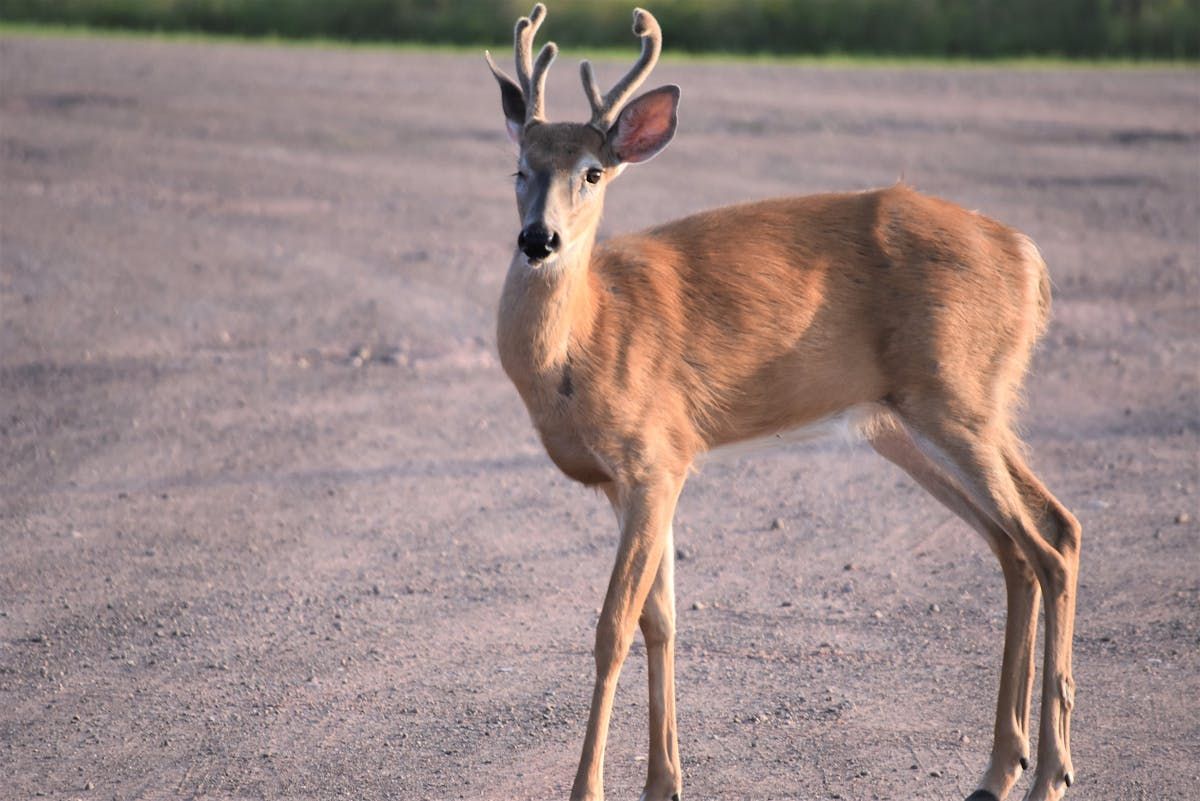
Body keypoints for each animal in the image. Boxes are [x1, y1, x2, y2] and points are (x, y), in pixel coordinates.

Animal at [483, 6, 1080, 801]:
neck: (586, 336)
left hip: (957, 400)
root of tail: (1029, 258)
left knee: (1047, 547)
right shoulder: (631, 479)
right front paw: (664, 780)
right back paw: (999, 768)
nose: (538, 239)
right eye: (519, 168)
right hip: (923, 417)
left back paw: (1051, 772)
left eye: (593, 171)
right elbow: (660, 620)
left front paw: (590, 788)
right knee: (1031, 539)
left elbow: (613, 627)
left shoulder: (656, 455)